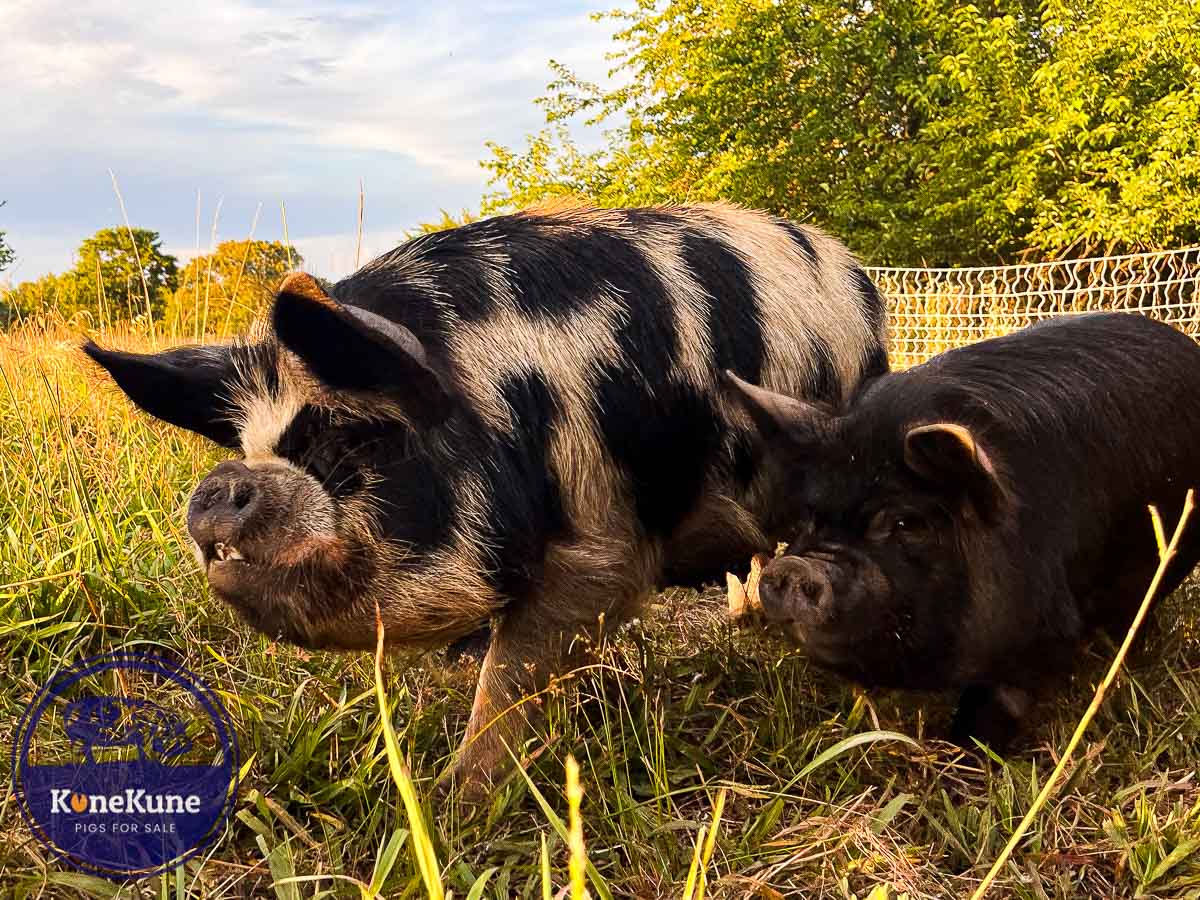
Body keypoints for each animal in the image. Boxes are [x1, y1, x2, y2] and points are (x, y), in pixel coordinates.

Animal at [83, 202, 888, 795]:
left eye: (347, 440)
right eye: (250, 448)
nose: (219, 485)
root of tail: (853, 270)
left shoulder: (598, 536)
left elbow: (515, 673)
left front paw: (455, 801)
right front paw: (460, 668)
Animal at [724, 312, 1200, 748]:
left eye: (903, 522)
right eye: (807, 518)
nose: (796, 567)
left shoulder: (1042, 632)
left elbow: (1002, 699)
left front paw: (964, 752)